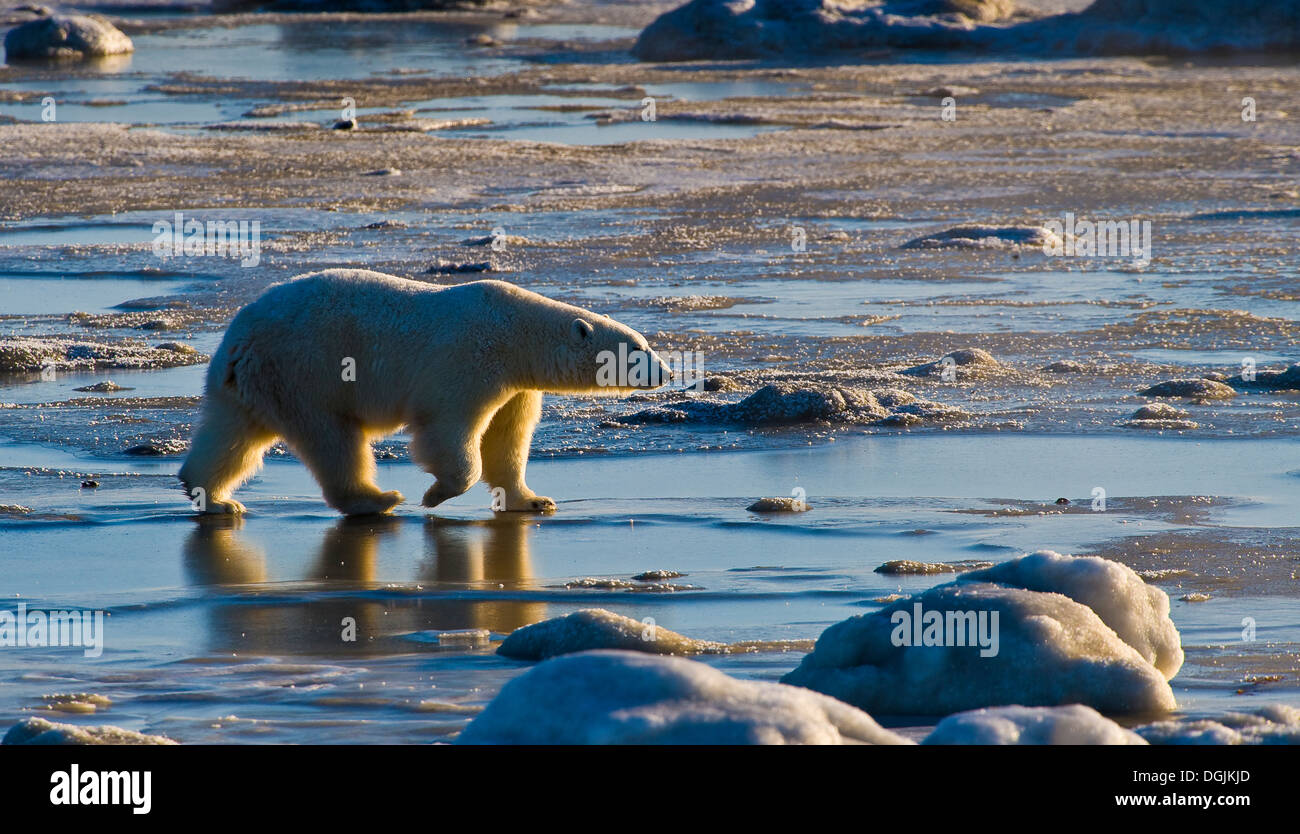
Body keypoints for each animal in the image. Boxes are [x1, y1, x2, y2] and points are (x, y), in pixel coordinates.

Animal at [178, 269, 669, 516]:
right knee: (333, 440)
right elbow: (451, 431)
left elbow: (507, 440)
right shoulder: (468, 361)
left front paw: (532, 500)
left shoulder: (515, 385)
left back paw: (212, 497)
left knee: (231, 437)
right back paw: (376, 500)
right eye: (639, 348)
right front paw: (435, 495)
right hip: (305, 372)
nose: (664, 372)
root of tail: (239, 341)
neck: (516, 333)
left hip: (253, 383)